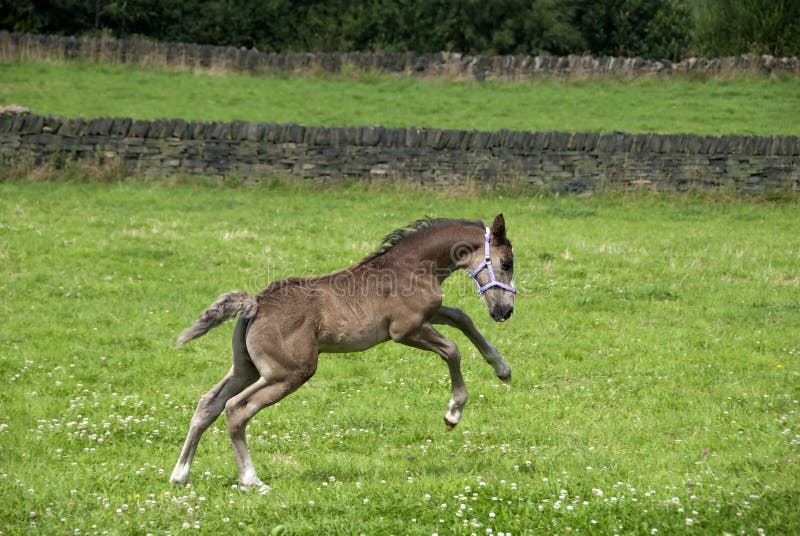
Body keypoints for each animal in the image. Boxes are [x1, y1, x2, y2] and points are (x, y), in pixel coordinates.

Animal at [169, 214, 517, 491]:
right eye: (506, 263)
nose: (505, 311)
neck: (411, 267)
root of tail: (255, 304)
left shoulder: (428, 316)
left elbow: (462, 317)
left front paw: (502, 368)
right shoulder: (406, 330)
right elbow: (452, 350)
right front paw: (453, 413)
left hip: (246, 369)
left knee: (209, 404)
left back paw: (180, 475)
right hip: (289, 373)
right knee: (236, 409)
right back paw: (251, 480)